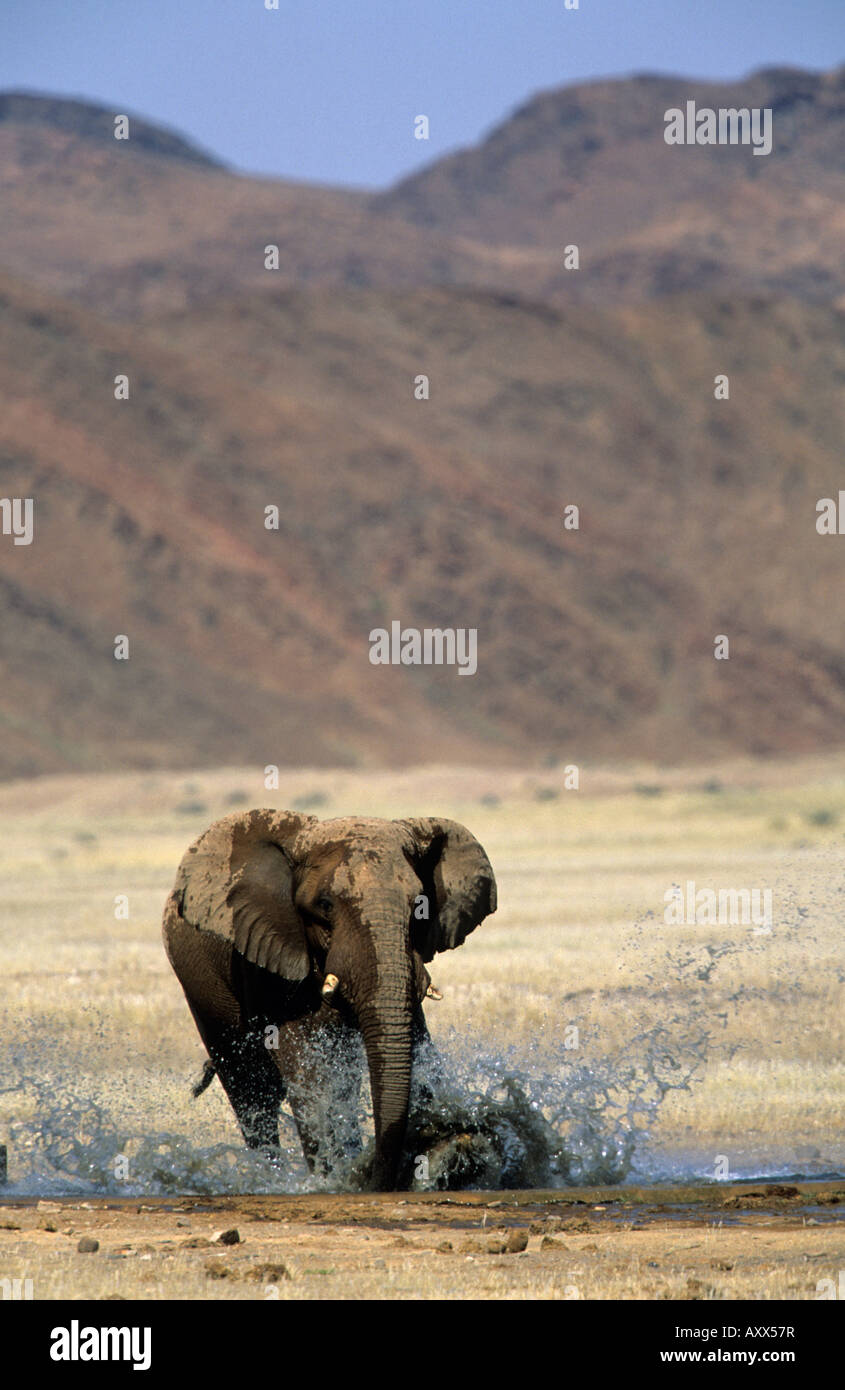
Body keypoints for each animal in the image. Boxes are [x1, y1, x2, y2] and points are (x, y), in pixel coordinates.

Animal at [162, 809, 497, 1190]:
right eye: (324, 906)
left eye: (419, 906)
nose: (380, 1181)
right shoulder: (271, 964)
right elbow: (310, 1072)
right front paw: (333, 1180)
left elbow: (417, 1051)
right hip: (200, 986)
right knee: (251, 1092)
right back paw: (270, 1175)